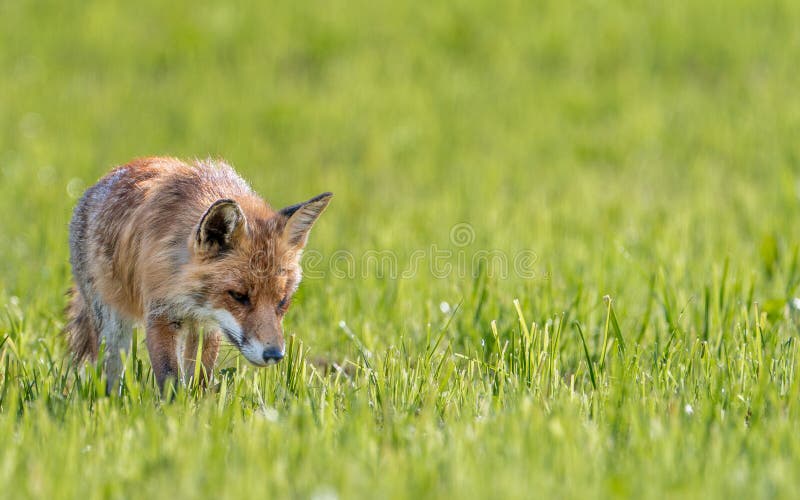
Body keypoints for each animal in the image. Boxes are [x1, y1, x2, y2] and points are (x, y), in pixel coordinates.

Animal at [65, 157, 332, 393]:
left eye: (283, 300)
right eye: (238, 296)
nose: (274, 355)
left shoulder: (209, 326)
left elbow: (200, 378)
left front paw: (199, 409)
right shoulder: (161, 314)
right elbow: (170, 378)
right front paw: (175, 412)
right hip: (111, 326)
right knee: (108, 372)